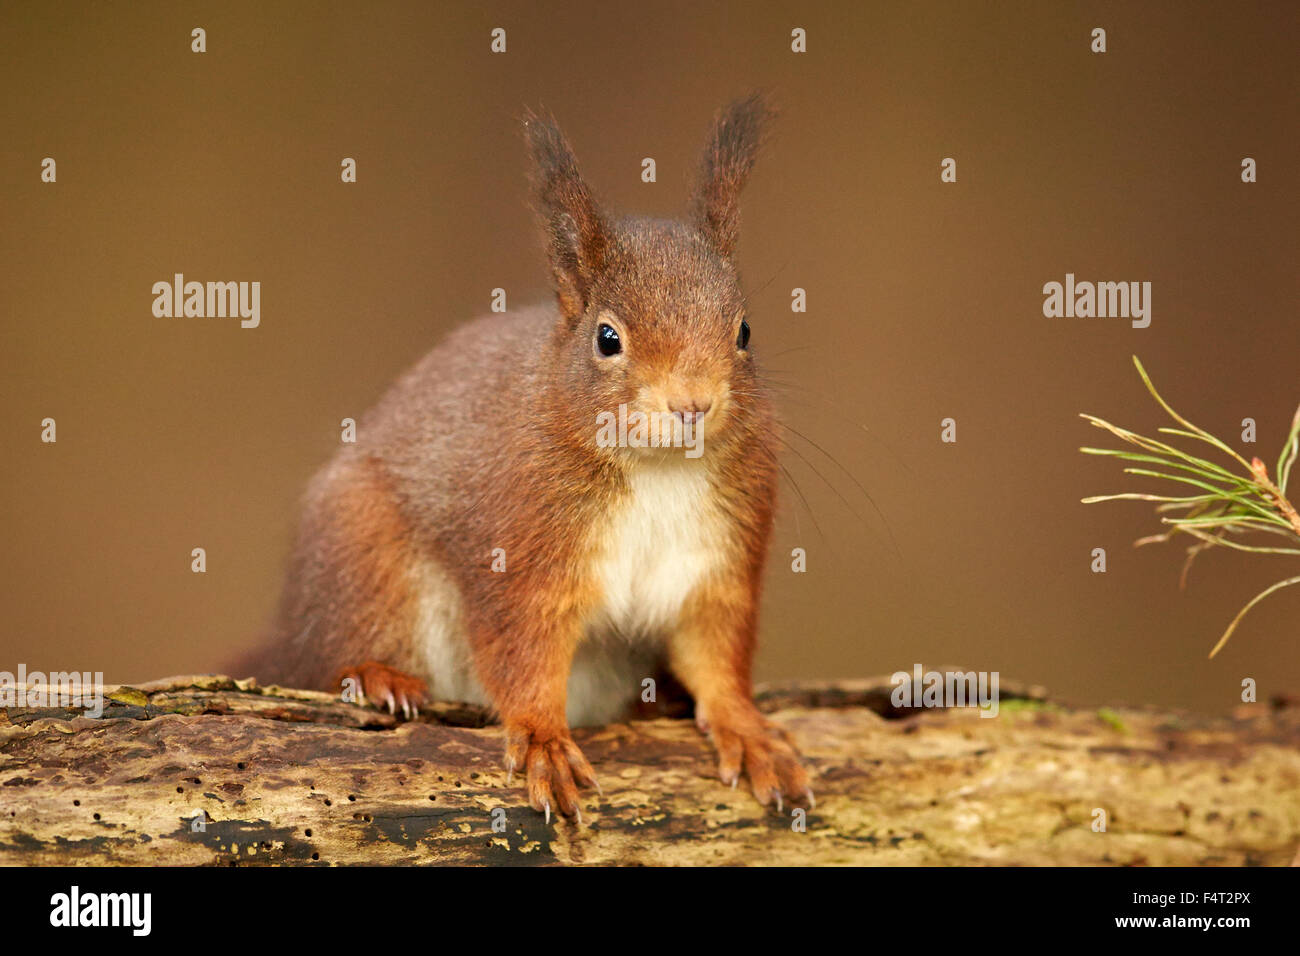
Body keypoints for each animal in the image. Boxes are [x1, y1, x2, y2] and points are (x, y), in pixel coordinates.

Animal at [230, 92, 811, 820]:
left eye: (745, 331)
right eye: (608, 338)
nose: (693, 405)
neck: (657, 467)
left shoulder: (719, 558)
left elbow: (717, 653)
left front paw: (748, 729)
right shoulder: (522, 550)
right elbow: (522, 653)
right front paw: (541, 740)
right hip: (363, 552)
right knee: (326, 653)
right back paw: (375, 675)